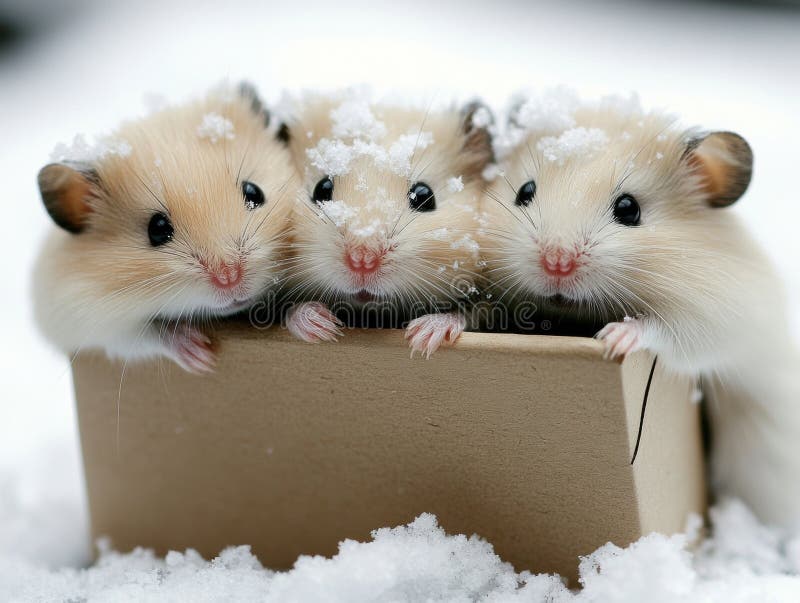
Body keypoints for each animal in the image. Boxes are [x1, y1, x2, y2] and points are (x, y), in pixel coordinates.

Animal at [33, 83, 299, 373]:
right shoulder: (88, 320)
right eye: (157, 229)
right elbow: (147, 336)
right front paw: (202, 357)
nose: (229, 277)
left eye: (253, 193)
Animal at [282, 93, 492, 357]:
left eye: (424, 195)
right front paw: (322, 326)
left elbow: (464, 314)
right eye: (321, 189)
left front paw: (422, 337)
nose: (362, 261)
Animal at [481, 92, 800, 529]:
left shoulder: (721, 319)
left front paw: (613, 338)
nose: (557, 263)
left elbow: (661, 329)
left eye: (629, 208)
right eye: (524, 191)